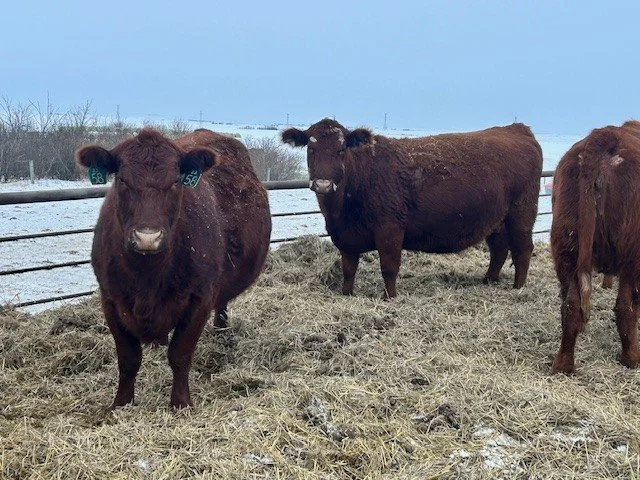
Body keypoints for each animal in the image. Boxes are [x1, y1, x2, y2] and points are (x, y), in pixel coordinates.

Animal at [76, 128, 271, 409]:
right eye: (121, 180)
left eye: (176, 181)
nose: (148, 237)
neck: (146, 277)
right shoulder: (110, 298)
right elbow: (128, 358)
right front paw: (121, 403)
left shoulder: (200, 298)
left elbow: (180, 355)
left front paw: (181, 402)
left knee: (222, 305)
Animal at [282, 119, 543, 297]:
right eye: (311, 148)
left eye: (341, 149)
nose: (323, 184)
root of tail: (515, 128)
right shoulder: (346, 238)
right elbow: (348, 269)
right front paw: (347, 294)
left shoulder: (390, 230)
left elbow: (389, 267)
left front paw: (389, 297)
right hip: (497, 220)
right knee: (499, 249)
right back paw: (488, 280)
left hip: (522, 213)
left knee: (522, 249)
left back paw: (518, 288)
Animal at [551, 123, 640, 373]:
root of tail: (604, 137)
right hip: (633, 253)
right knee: (626, 307)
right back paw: (631, 359)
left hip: (567, 244)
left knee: (570, 306)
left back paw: (563, 365)